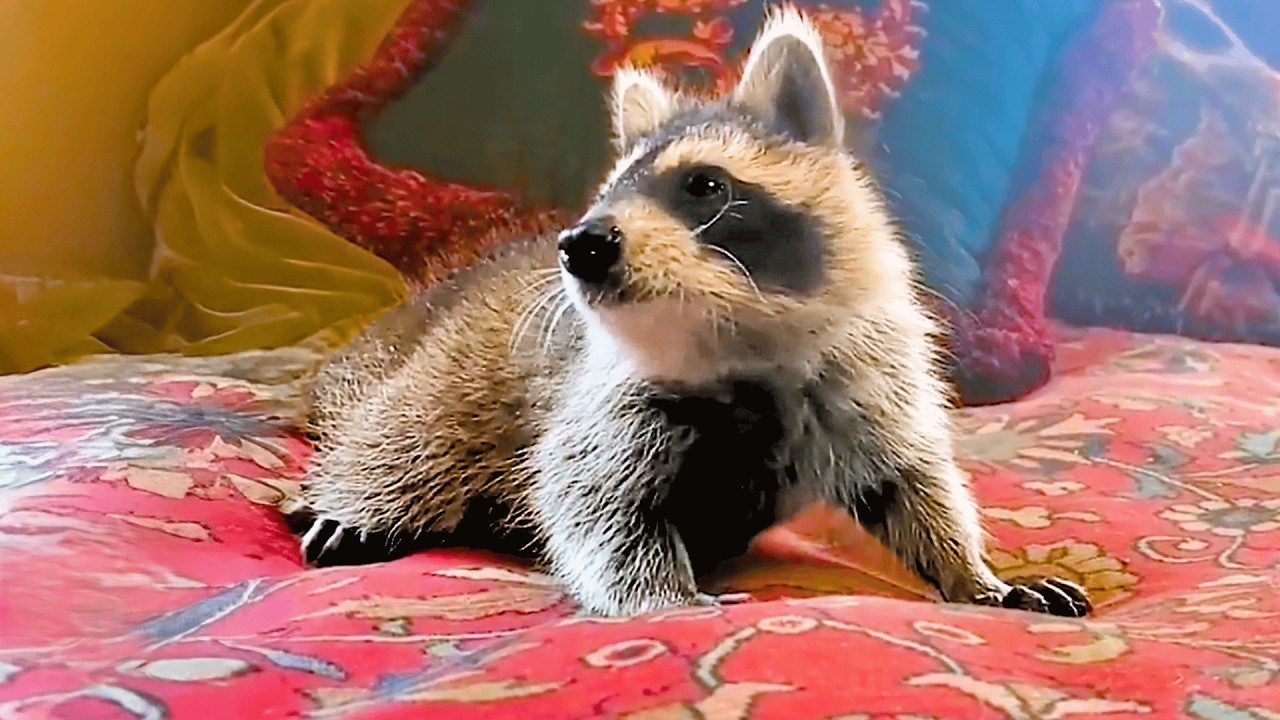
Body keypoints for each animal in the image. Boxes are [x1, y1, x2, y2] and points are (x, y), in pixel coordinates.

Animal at [287, 6, 1091, 619]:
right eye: (608, 191)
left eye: (705, 185)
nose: (581, 245)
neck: (738, 339)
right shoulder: (608, 404)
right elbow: (594, 503)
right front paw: (662, 599)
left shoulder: (867, 379)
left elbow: (912, 484)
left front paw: (973, 573)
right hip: (451, 366)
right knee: (412, 433)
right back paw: (364, 498)